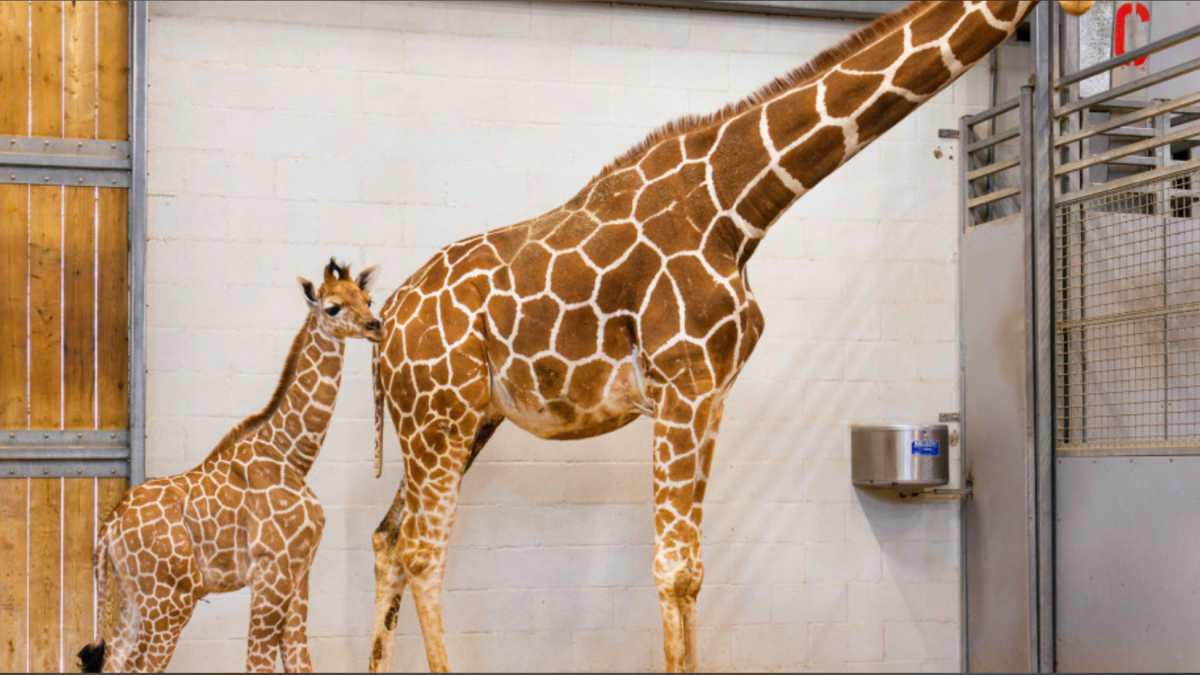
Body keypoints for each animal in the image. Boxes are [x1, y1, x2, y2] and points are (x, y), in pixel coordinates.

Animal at [77, 260, 383, 673]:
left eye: (367, 298)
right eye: (333, 307)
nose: (375, 326)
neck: (292, 455)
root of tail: (109, 527)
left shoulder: (300, 571)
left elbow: (299, 659)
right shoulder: (272, 573)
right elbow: (259, 662)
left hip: (131, 593)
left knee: (115, 659)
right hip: (171, 599)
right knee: (141, 664)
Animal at [366, 2, 1093, 672]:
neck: (738, 203)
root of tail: (388, 319)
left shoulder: (711, 396)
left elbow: (693, 571)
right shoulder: (681, 385)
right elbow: (672, 568)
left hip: (461, 419)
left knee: (388, 538)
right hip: (439, 416)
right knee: (423, 549)